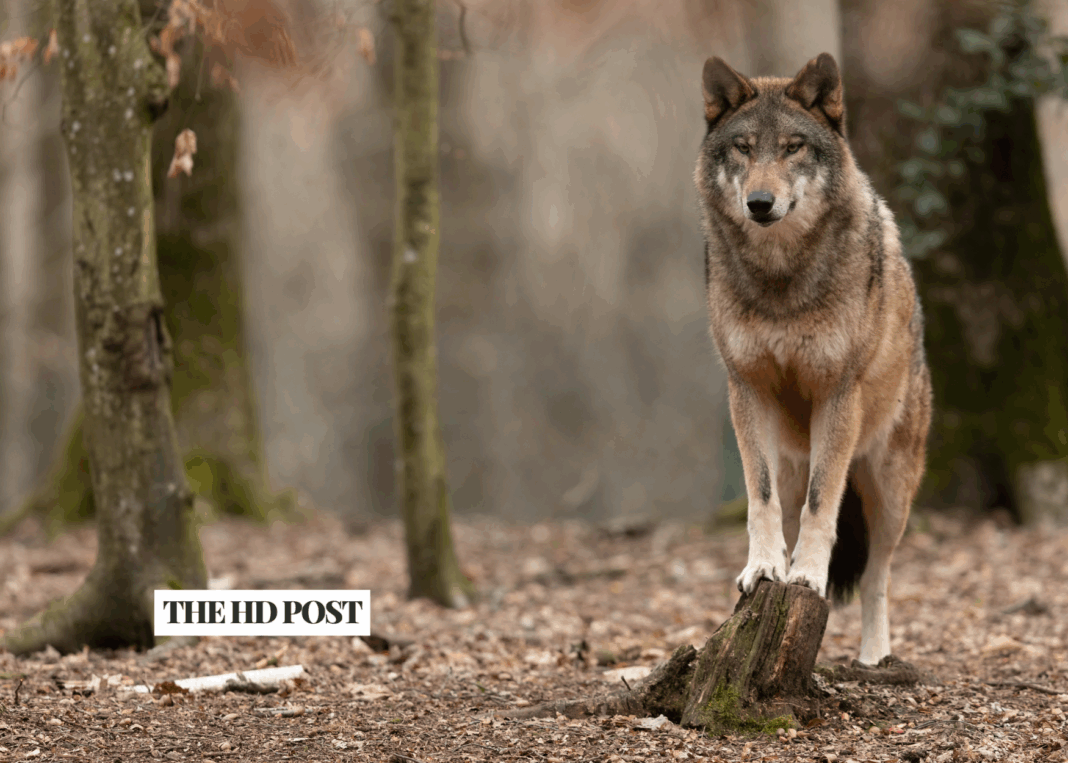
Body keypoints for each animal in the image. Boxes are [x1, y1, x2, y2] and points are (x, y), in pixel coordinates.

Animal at [694, 53, 932, 665]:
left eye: (793, 148)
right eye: (744, 148)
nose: (760, 203)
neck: (781, 279)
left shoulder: (837, 394)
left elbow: (823, 508)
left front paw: (806, 578)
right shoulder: (746, 389)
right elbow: (760, 499)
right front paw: (763, 570)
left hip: (888, 490)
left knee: (877, 577)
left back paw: (874, 658)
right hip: (794, 459)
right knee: (789, 505)